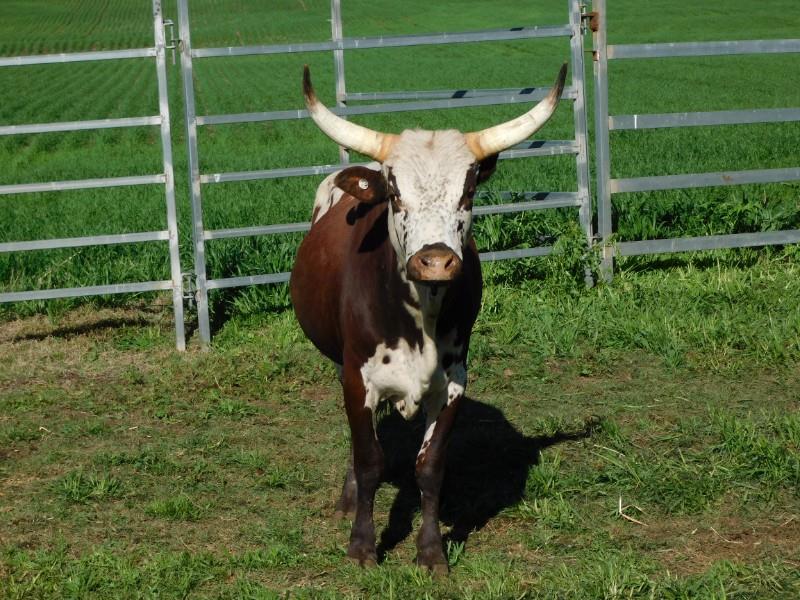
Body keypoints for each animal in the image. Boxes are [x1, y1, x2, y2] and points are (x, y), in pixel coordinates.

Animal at [290, 63, 567, 572]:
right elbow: (369, 460)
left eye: (469, 189)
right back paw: (347, 498)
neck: (420, 317)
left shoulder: (454, 382)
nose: (435, 261)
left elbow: (431, 467)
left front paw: (432, 551)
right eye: (395, 191)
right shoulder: (359, 377)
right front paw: (362, 545)